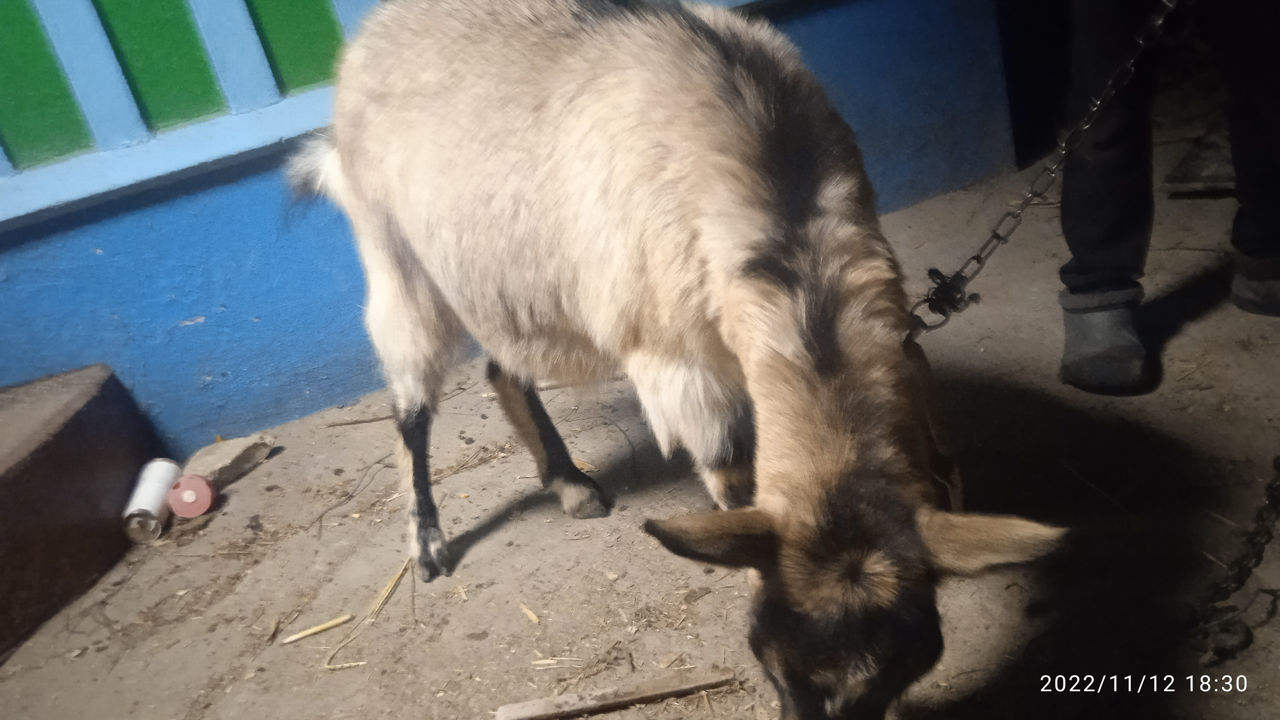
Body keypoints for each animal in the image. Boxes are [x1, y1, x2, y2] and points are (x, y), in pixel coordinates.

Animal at [289, 1, 1064, 717]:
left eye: (908, 664)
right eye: (765, 661)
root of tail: (373, 31)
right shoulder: (679, 362)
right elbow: (731, 473)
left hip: (511, 278)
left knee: (500, 367)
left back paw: (570, 484)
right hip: (397, 258)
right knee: (411, 404)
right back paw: (427, 545)